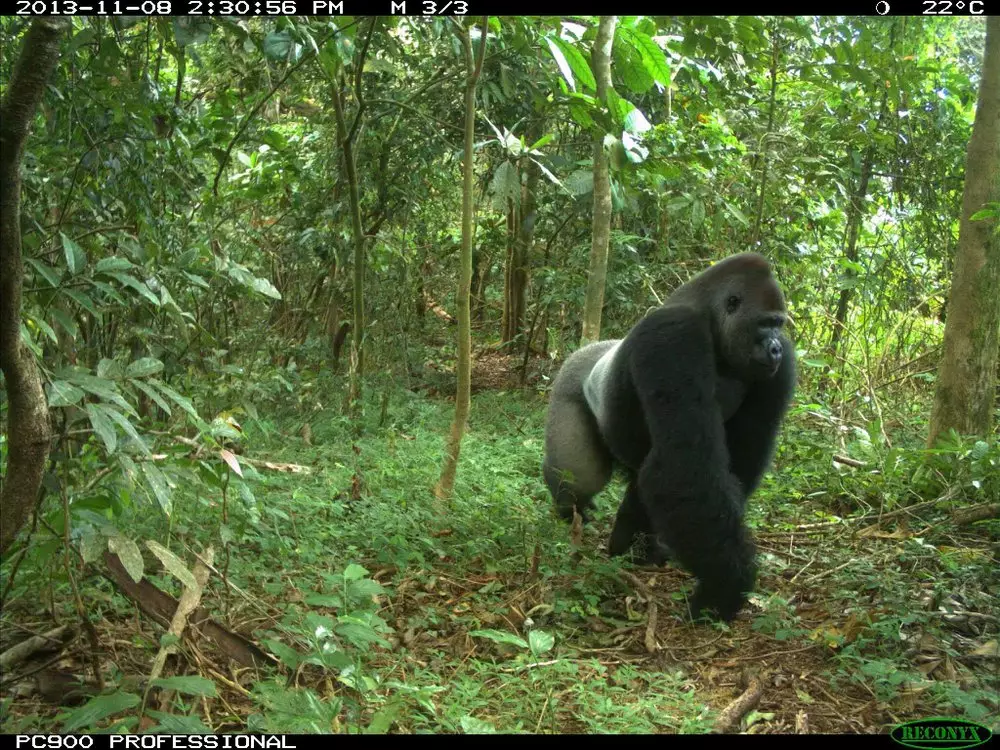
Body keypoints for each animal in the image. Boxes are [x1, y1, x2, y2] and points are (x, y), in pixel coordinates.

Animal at [544, 253, 792, 624]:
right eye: (766, 324)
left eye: (779, 325)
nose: (775, 347)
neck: (711, 319)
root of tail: (587, 349)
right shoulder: (675, 336)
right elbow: (685, 468)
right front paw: (724, 587)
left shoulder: (780, 369)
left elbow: (729, 464)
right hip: (568, 384)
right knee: (581, 476)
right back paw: (569, 507)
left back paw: (632, 544)